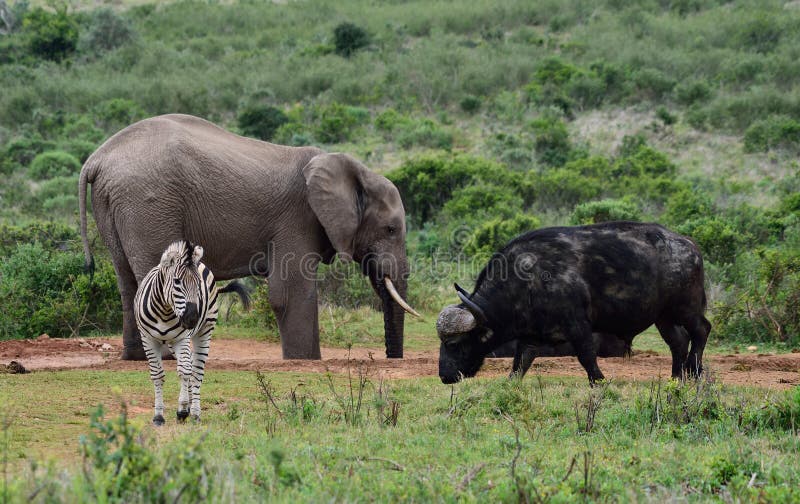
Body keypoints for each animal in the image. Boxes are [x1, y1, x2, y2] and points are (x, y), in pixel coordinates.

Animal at [79, 113, 419, 360]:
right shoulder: (297, 219)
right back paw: (169, 355)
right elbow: (289, 293)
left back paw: (138, 357)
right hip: (149, 204)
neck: (354, 169)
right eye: (390, 229)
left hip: (117, 204)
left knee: (126, 282)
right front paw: (304, 361)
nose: (391, 358)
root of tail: (97, 159)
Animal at [135, 240, 249, 426]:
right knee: (189, 367)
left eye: (197, 282)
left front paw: (182, 410)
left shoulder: (182, 338)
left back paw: (194, 413)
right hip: (173, 343)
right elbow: (158, 375)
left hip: (204, 331)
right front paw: (158, 416)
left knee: (196, 372)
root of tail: (201, 262)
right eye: (176, 281)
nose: (192, 319)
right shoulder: (148, 339)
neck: (164, 311)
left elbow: (185, 372)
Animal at [437, 221, 711, 385]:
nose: (445, 376)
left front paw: (599, 382)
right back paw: (676, 378)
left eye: (453, 343)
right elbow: (519, 366)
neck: (526, 280)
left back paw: (694, 371)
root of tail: (690, 246)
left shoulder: (578, 325)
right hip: (663, 316)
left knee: (702, 330)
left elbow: (587, 356)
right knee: (678, 342)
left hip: (685, 308)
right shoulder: (530, 337)